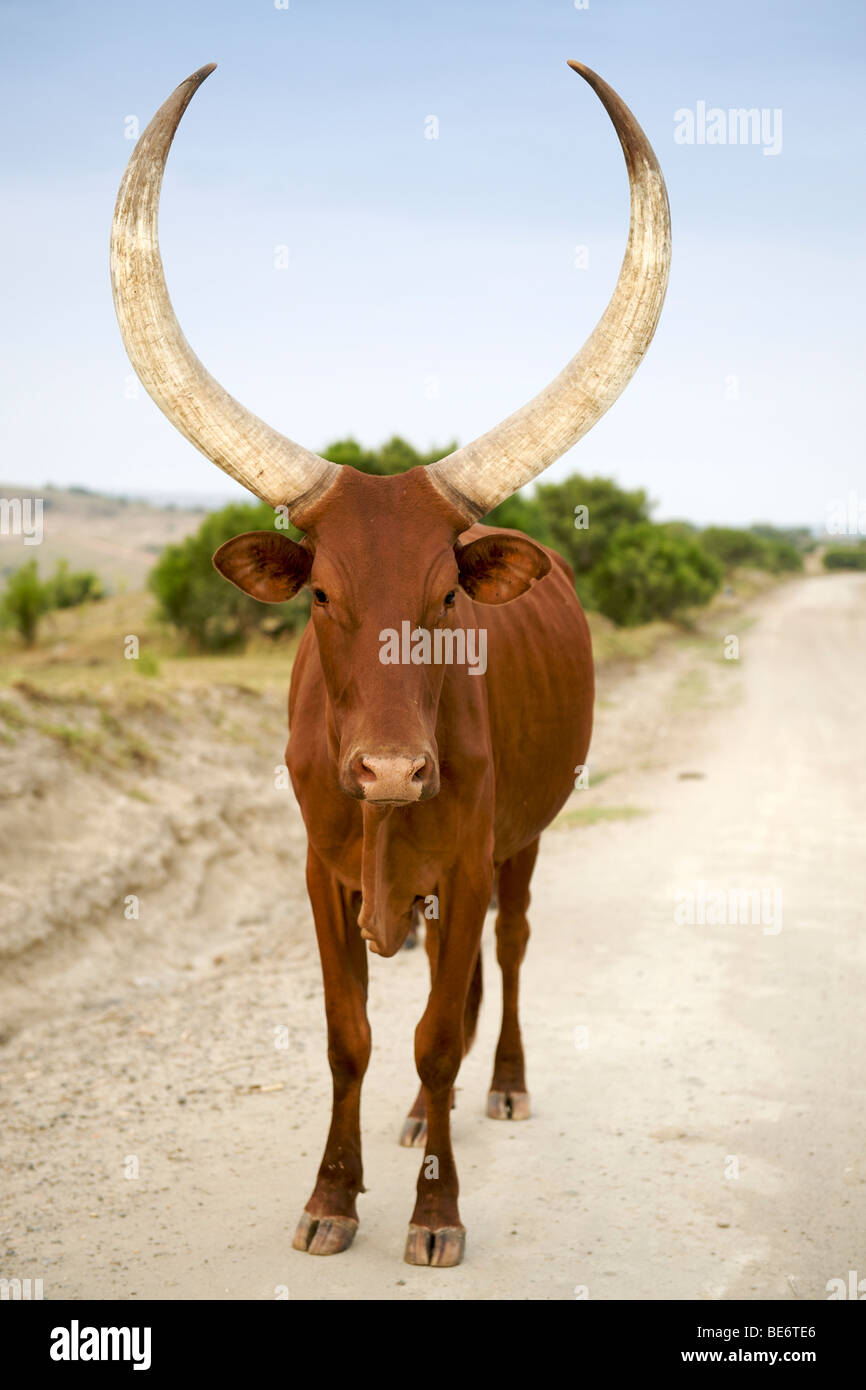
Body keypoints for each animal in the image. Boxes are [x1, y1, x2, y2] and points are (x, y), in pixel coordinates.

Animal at [111, 59, 670, 1267]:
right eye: (322, 594)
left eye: (444, 594)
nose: (389, 773)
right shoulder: (321, 875)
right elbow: (352, 1037)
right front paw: (332, 1194)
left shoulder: (462, 863)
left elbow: (434, 1034)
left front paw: (433, 1210)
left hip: (522, 842)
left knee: (504, 961)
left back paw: (498, 1090)